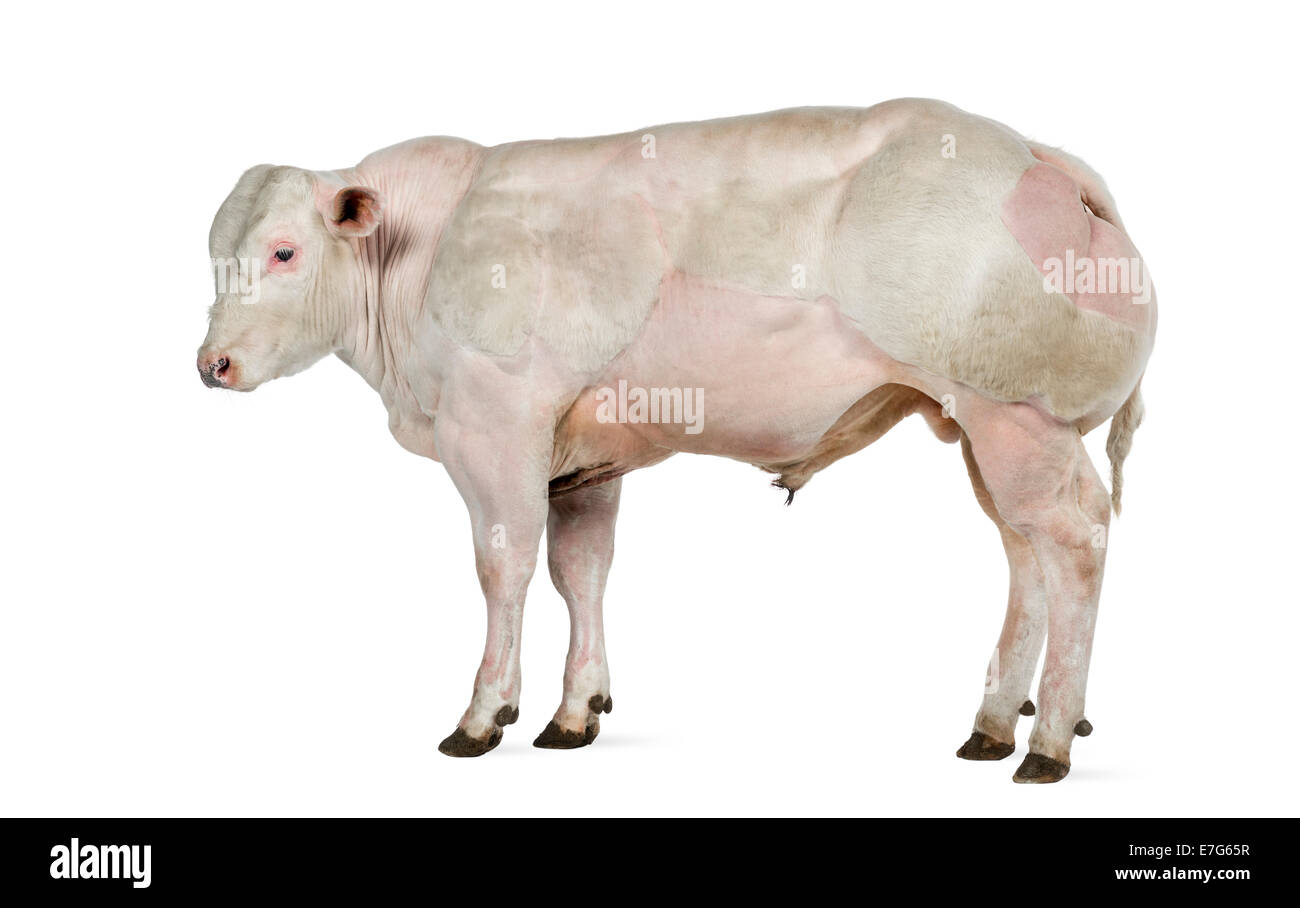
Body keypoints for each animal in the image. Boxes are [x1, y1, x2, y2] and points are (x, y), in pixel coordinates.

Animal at [197, 99, 1155, 783]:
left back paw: (1049, 741)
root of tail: (1039, 154)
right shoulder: (584, 458)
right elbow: (581, 571)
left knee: (1074, 542)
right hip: (990, 431)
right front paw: (574, 709)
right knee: (1024, 553)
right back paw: (995, 724)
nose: (214, 363)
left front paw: (482, 715)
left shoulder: (495, 426)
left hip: (1016, 415)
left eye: (284, 252)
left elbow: (504, 569)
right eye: (216, 257)